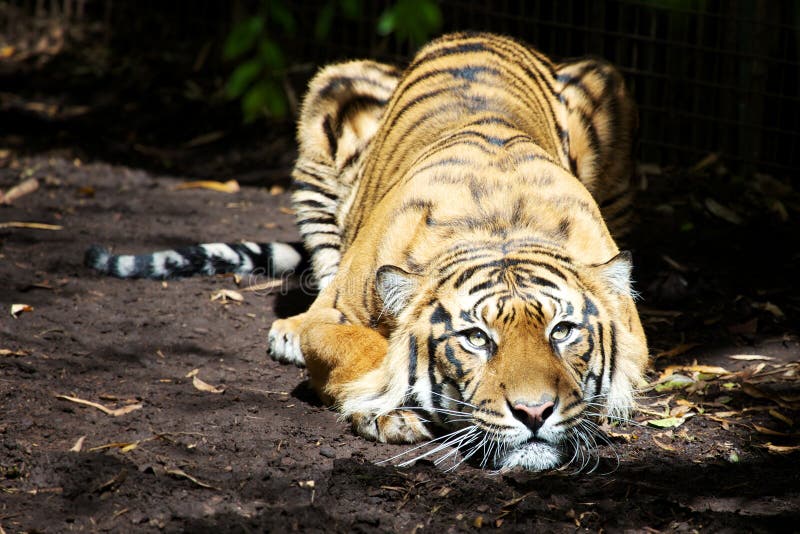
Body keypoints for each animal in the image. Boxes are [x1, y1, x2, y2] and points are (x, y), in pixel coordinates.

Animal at [86, 32, 648, 471]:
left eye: (563, 331)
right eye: (475, 338)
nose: (534, 413)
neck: (500, 228)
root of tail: (482, 34)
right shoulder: (334, 315)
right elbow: (369, 351)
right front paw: (385, 407)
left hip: (608, 90)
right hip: (332, 98)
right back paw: (287, 333)